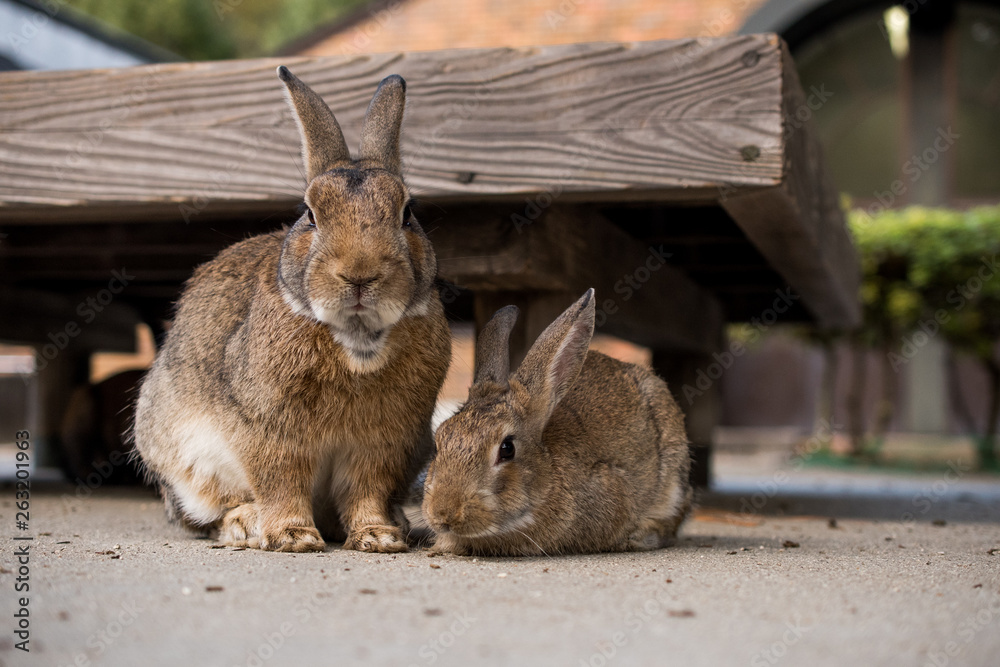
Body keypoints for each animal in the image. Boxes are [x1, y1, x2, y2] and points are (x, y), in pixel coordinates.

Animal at [132, 67, 452, 553]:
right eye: (309, 213)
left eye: (407, 213)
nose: (360, 274)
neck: (355, 337)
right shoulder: (271, 431)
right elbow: (281, 481)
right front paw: (293, 536)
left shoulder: (382, 444)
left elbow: (366, 489)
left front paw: (378, 536)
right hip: (184, 457)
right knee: (209, 511)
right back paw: (245, 525)